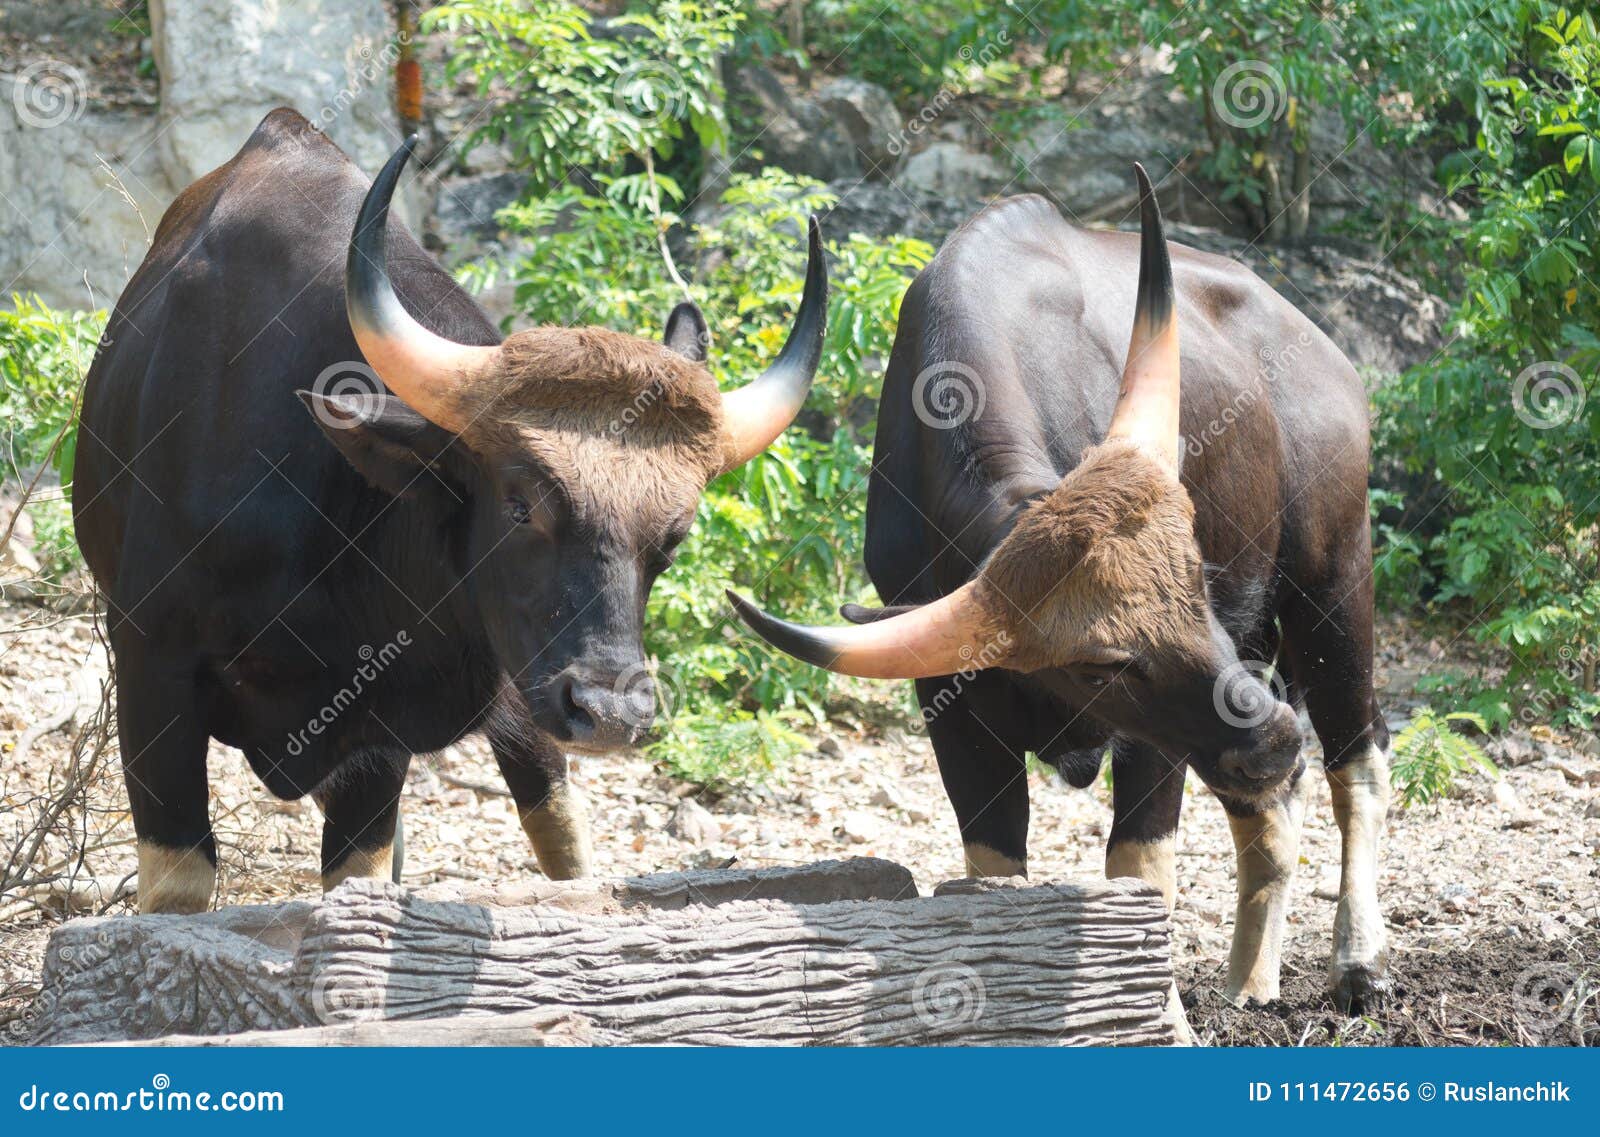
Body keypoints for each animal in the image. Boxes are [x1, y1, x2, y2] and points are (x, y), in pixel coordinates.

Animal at [73, 108, 828, 914]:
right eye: (519, 503)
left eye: (674, 537)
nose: (610, 713)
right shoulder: (151, 667)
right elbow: (178, 886)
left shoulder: (380, 729)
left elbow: (360, 872)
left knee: (555, 815)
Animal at [729, 166, 1390, 1023]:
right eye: (1101, 664)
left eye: (1196, 577)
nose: (1273, 734)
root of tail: (1326, 357)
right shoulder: (952, 706)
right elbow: (994, 877)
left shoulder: (1158, 740)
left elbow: (1140, 872)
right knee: (1276, 808)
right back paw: (1250, 982)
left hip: (1334, 583)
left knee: (1358, 756)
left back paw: (1358, 962)